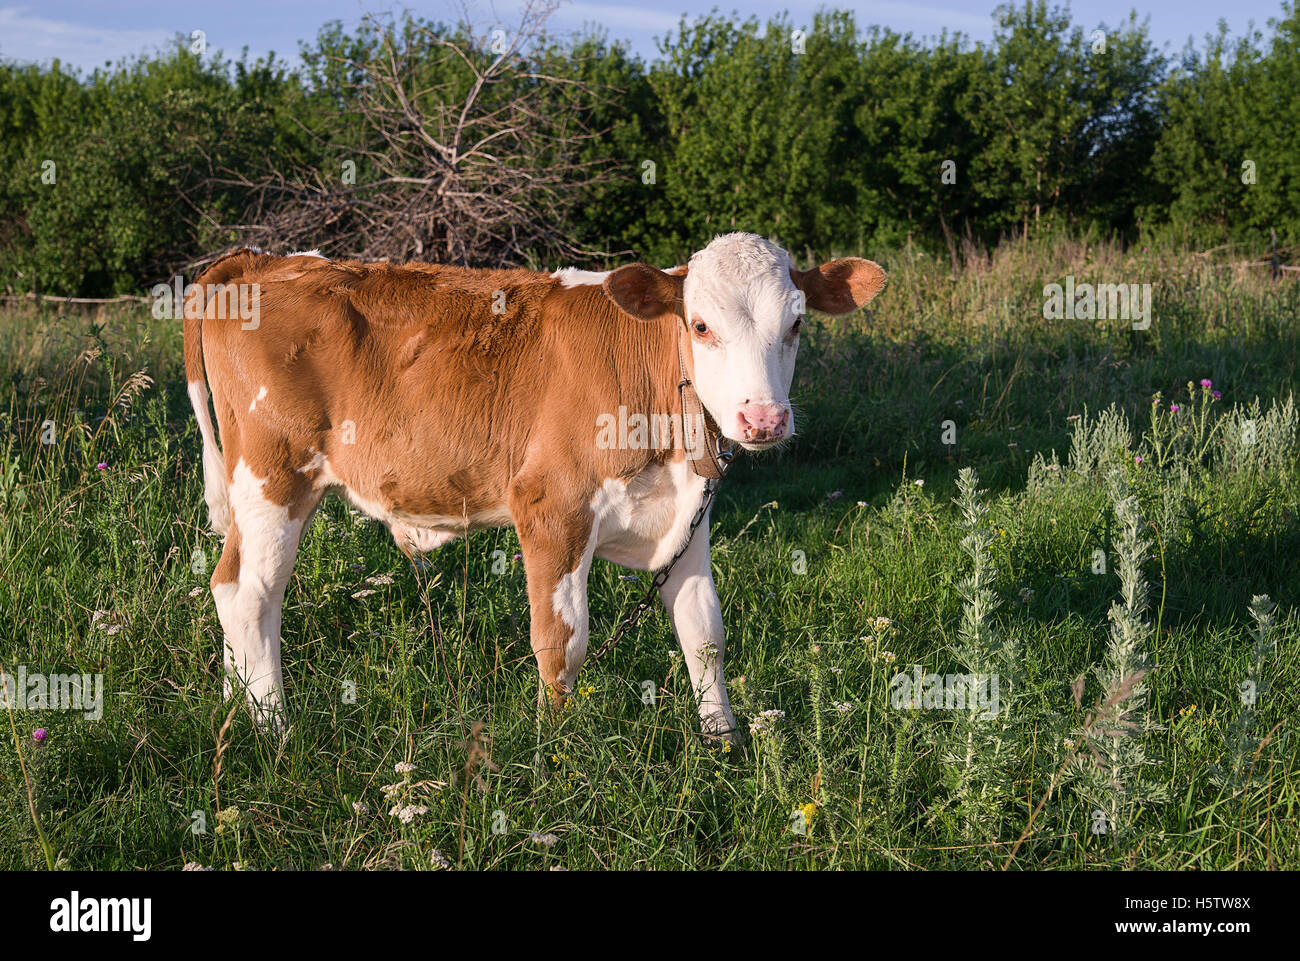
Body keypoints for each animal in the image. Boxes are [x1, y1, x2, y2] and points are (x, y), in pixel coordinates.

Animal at [184, 233, 886, 742]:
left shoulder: (685, 522)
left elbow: (704, 633)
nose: (762, 419)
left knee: (230, 590)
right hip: (274, 476)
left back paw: (237, 708)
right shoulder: (552, 507)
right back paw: (274, 729)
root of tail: (256, 260)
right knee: (249, 593)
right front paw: (560, 749)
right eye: (701, 325)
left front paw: (724, 743)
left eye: (796, 325)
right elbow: (562, 640)